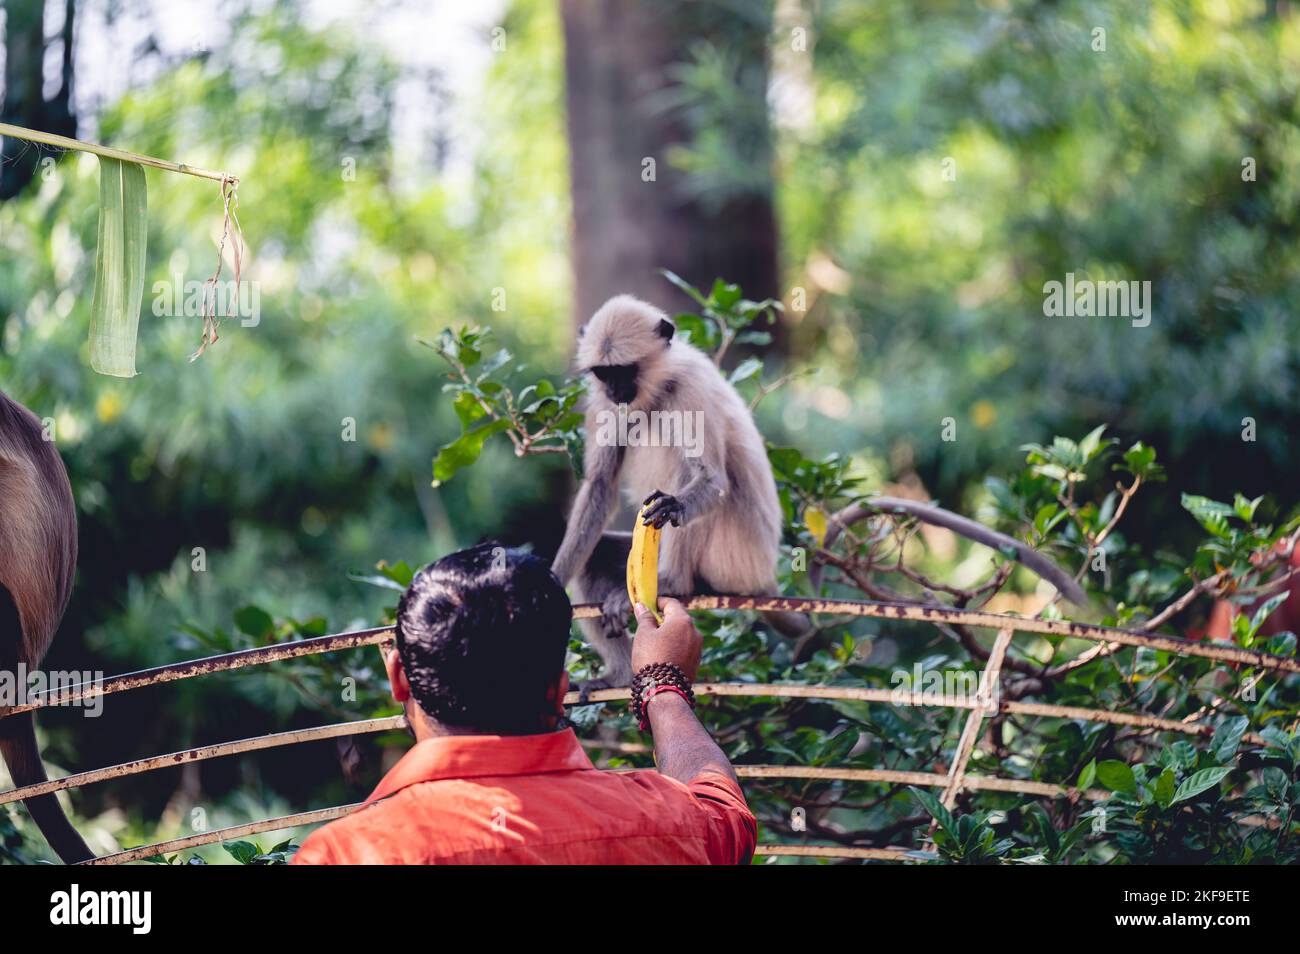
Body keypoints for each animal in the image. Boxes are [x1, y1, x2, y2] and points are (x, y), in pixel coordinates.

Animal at [551, 295, 789, 691]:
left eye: (625, 371)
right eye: (603, 373)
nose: (614, 391)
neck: (657, 387)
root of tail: (764, 575)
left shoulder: (689, 388)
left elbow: (713, 482)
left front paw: (675, 503)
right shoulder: (603, 404)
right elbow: (600, 484)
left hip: (737, 557)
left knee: (686, 479)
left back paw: (673, 580)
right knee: (594, 555)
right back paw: (619, 674)